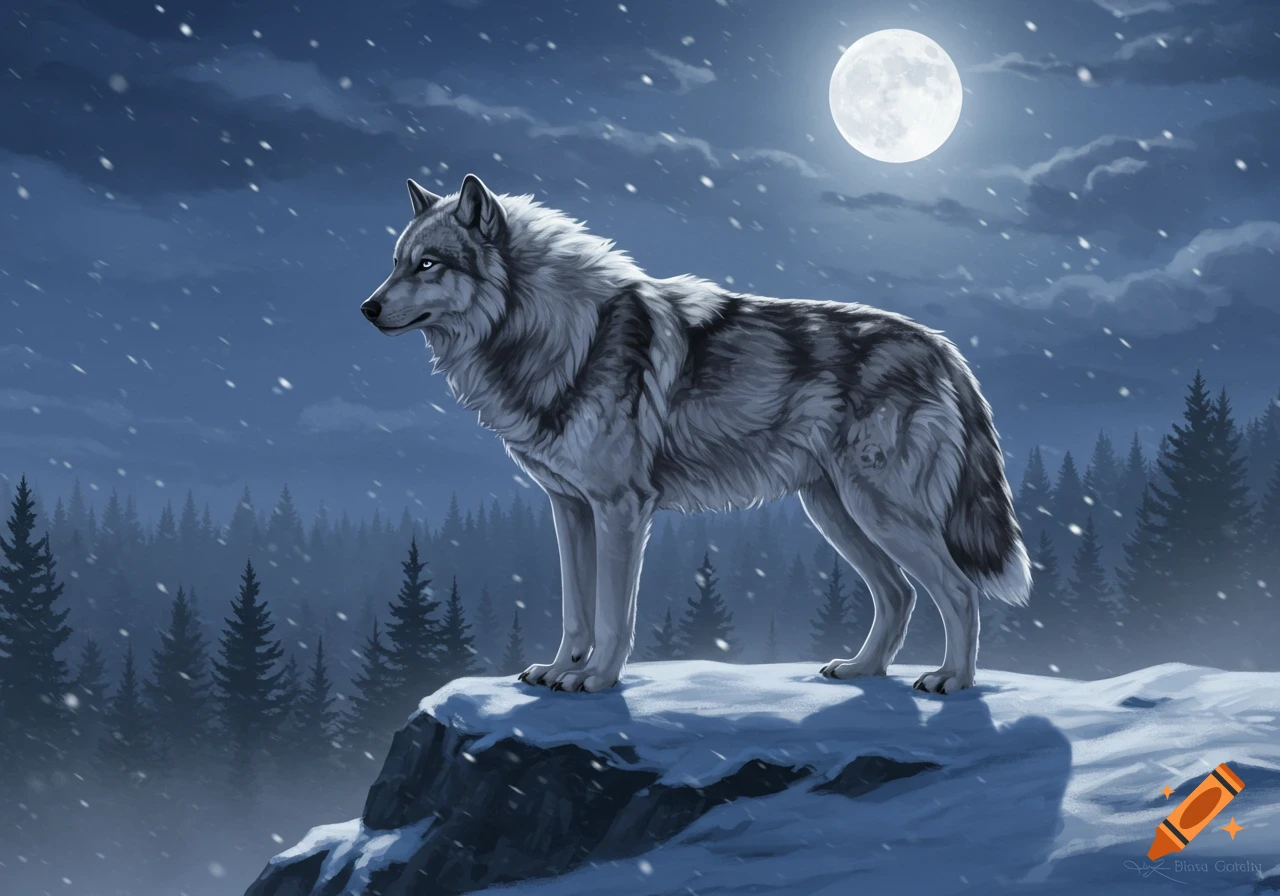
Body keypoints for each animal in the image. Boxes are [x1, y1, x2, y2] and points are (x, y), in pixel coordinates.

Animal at [361, 174, 1031, 695]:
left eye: (428, 264)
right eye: (395, 262)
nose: (366, 308)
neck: (560, 332)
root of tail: (942, 347)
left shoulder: (621, 509)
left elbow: (613, 615)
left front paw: (595, 679)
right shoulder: (569, 507)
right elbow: (576, 611)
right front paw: (558, 670)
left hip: (880, 513)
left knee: (959, 592)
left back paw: (952, 680)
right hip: (837, 514)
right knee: (899, 595)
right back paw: (863, 669)